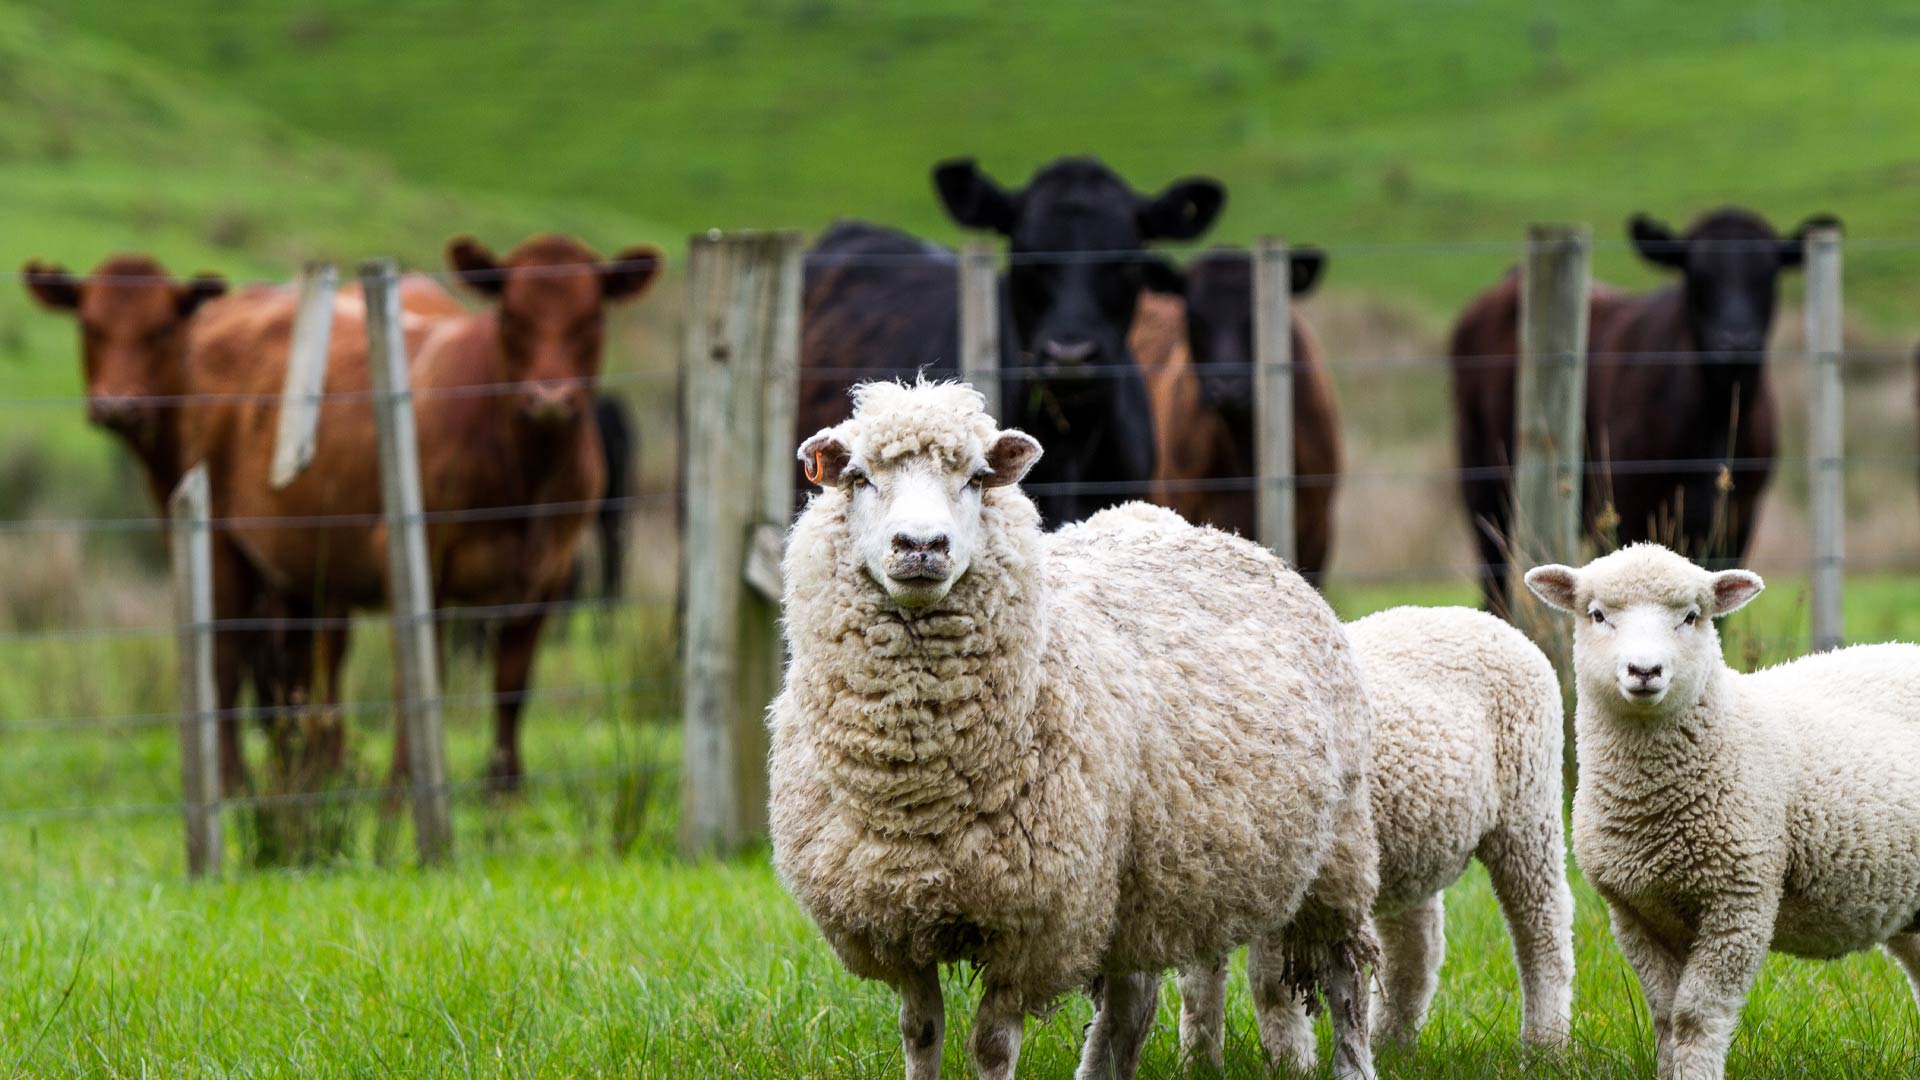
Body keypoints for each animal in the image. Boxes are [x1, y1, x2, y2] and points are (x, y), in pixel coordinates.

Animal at [768, 380, 1380, 1080]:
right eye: (859, 478)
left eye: (975, 478)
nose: (921, 546)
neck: (920, 788)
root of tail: (1230, 538)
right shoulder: (894, 919)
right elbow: (920, 1032)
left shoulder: (1035, 922)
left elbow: (992, 1044)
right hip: (1150, 879)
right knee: (1130, 1002)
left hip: (1336, 848)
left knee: (1345, 976)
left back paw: (1355, 1064)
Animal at [1175, 606, 1575, 1067]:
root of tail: (1486, 619)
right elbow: (1197, 989)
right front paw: (1197, 1064)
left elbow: (1270, 984)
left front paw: (1293, 1064)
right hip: (1410, 843)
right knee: (1415, 952)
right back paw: (1392, 1047)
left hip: (1529, 810)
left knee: (1542, 929)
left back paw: (1546, 1046)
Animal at [1525, 543, 1920, 1080]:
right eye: (1598, 615)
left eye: (1692, 616)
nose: (1644, 671)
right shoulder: (1634, 913)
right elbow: (1664, 1015)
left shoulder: (1739, 903)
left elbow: (1695, 1016)